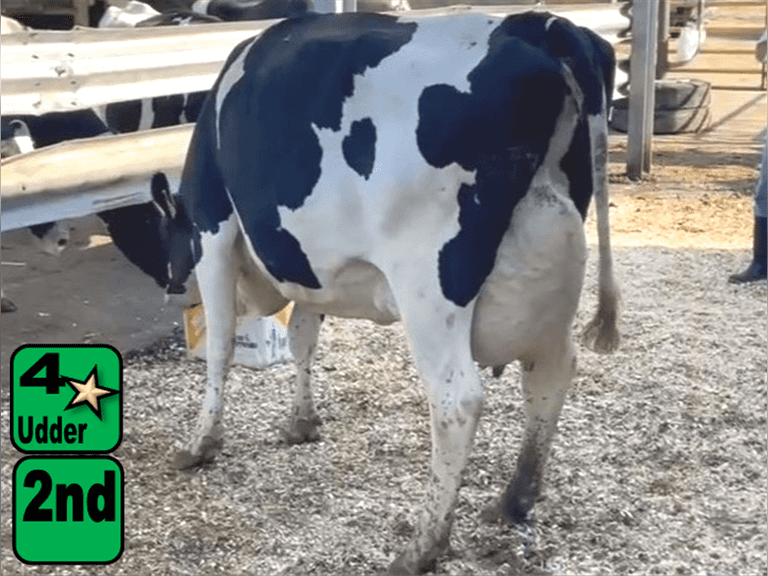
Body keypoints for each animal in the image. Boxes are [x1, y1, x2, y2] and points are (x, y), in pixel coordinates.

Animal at [105, 10, 620, 573]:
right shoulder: (313, 271)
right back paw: (516, 498)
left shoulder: (213, 230)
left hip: (429, 285)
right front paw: (302, 422)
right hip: (554, 270)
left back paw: (423, 544)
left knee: (457, 399)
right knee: (551, 373)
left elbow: (219, 347)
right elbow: (304, 338)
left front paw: (201, 443)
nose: (169, 286)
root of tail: (536, 25)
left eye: (167, 233)